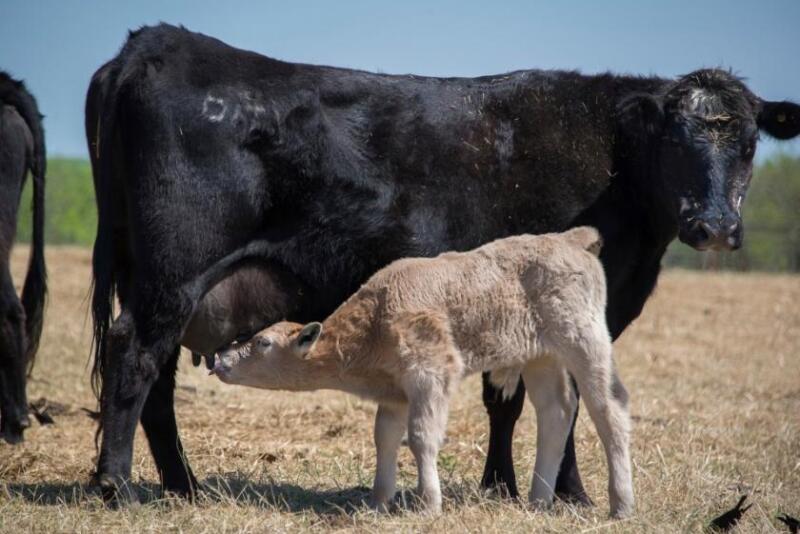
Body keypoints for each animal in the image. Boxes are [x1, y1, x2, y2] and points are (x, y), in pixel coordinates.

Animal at [85, 24, 800, 503]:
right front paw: (559, 491)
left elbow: (514, 401)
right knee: (135, 357)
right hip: (171, 277)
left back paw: (183, 485)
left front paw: (509, 486)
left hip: (165, 285)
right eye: (675, 141)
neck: (615, 157)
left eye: (747, 144)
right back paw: (116, 485)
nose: (715, 226)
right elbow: (533, 399)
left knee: (157, 378)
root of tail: (153, 43)